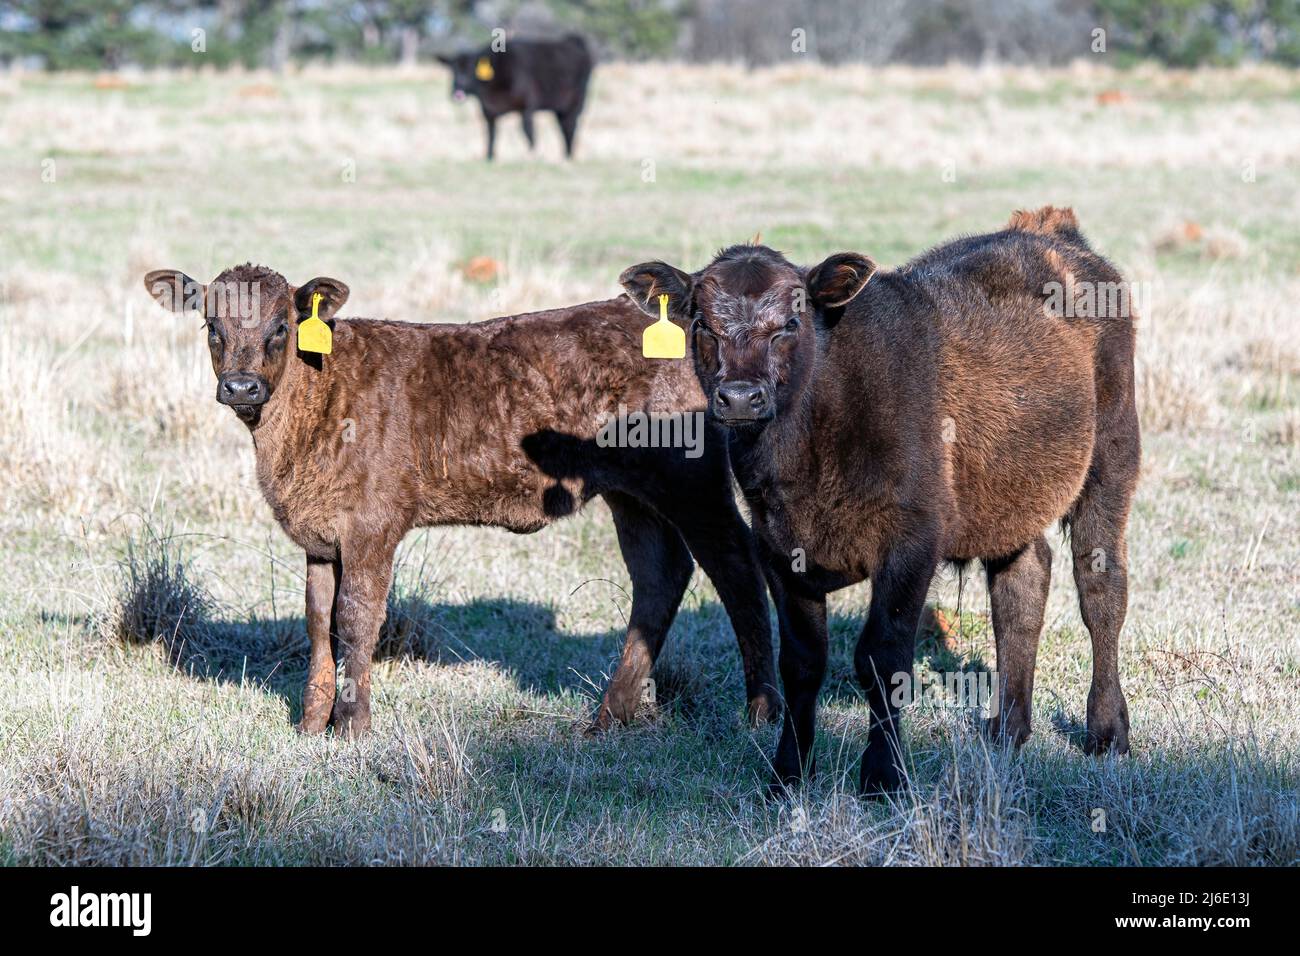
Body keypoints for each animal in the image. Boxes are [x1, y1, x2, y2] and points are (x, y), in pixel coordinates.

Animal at [142, 265, 779, 738]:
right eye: (211, 326)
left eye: (281, 326)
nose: (241, 387)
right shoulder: (319, 536)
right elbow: (318, 621)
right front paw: (309, 723)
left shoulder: (372, 526)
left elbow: (357, 617)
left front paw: (351, 726)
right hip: (631, 493)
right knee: (659, 575)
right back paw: (608, 716)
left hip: (693, 484)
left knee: (736, 569)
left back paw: (761, 711)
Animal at [437, 34, 593, 161]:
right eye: (452, 69)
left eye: (471, 68)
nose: (458, 88)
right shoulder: (488, 111)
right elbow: (491, 134)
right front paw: (489, 157)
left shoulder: (527, 107)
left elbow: (528, 132)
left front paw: (531, 156)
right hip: (560, 108)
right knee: (563, 127)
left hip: (576, 102)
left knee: (570, 127)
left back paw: (568, 157)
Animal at [619, 207, 1140, 795]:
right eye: (702, 325)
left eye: (792, 323)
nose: (740, 397)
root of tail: (1054, 234)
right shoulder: (778, 549)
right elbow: (801, 662)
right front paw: (789, 771)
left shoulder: (912, 541)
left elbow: (882, 658)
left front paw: (883, 774)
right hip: (1010, 497)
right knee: (1022, 586)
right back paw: (1008, 729)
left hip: (1113, 454)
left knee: (1101, 589)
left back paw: (1107, 730)